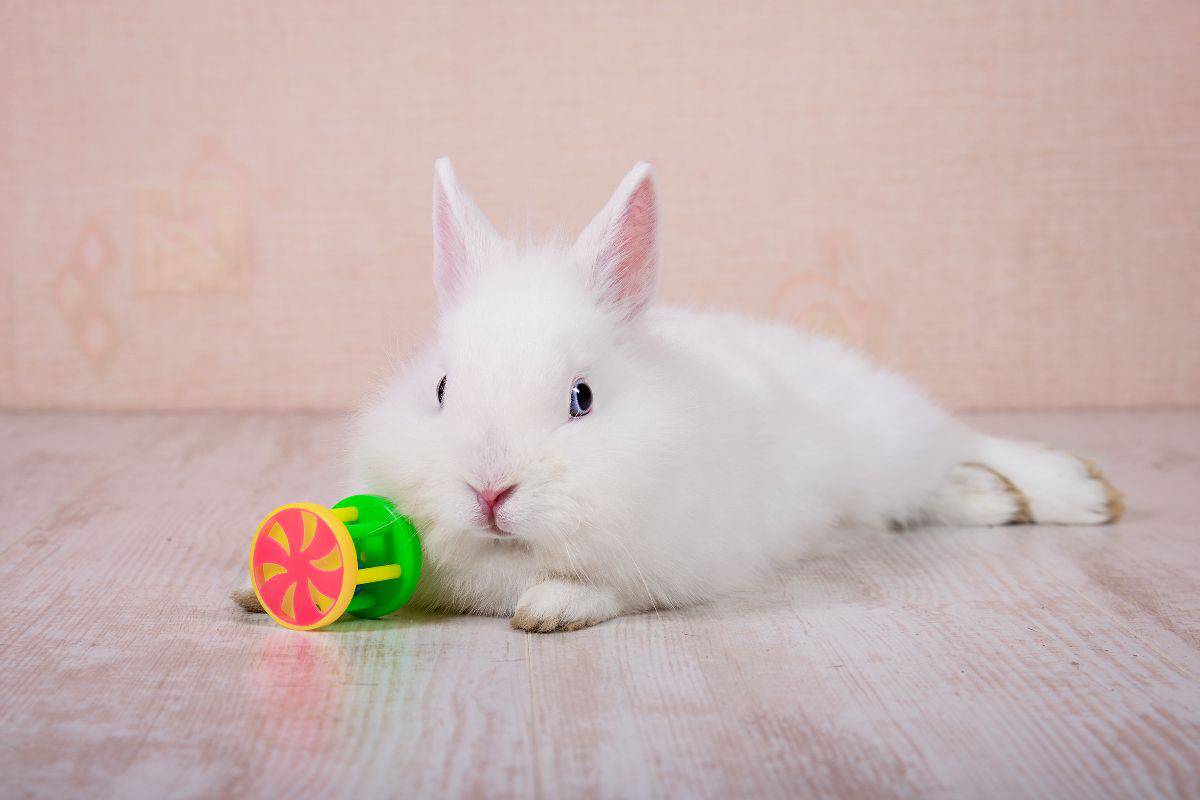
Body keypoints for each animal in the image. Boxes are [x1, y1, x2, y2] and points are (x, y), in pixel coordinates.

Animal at [235, 158, 1123, 633]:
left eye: (583, 398)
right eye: (443, 388)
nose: (489, 491)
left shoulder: (676, 564)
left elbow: (604, 590)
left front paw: (549, 608)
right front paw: (250, 588)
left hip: (889, 437)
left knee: (965, 442)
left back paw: (1074, 492)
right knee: (950, 482)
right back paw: (995, 501)